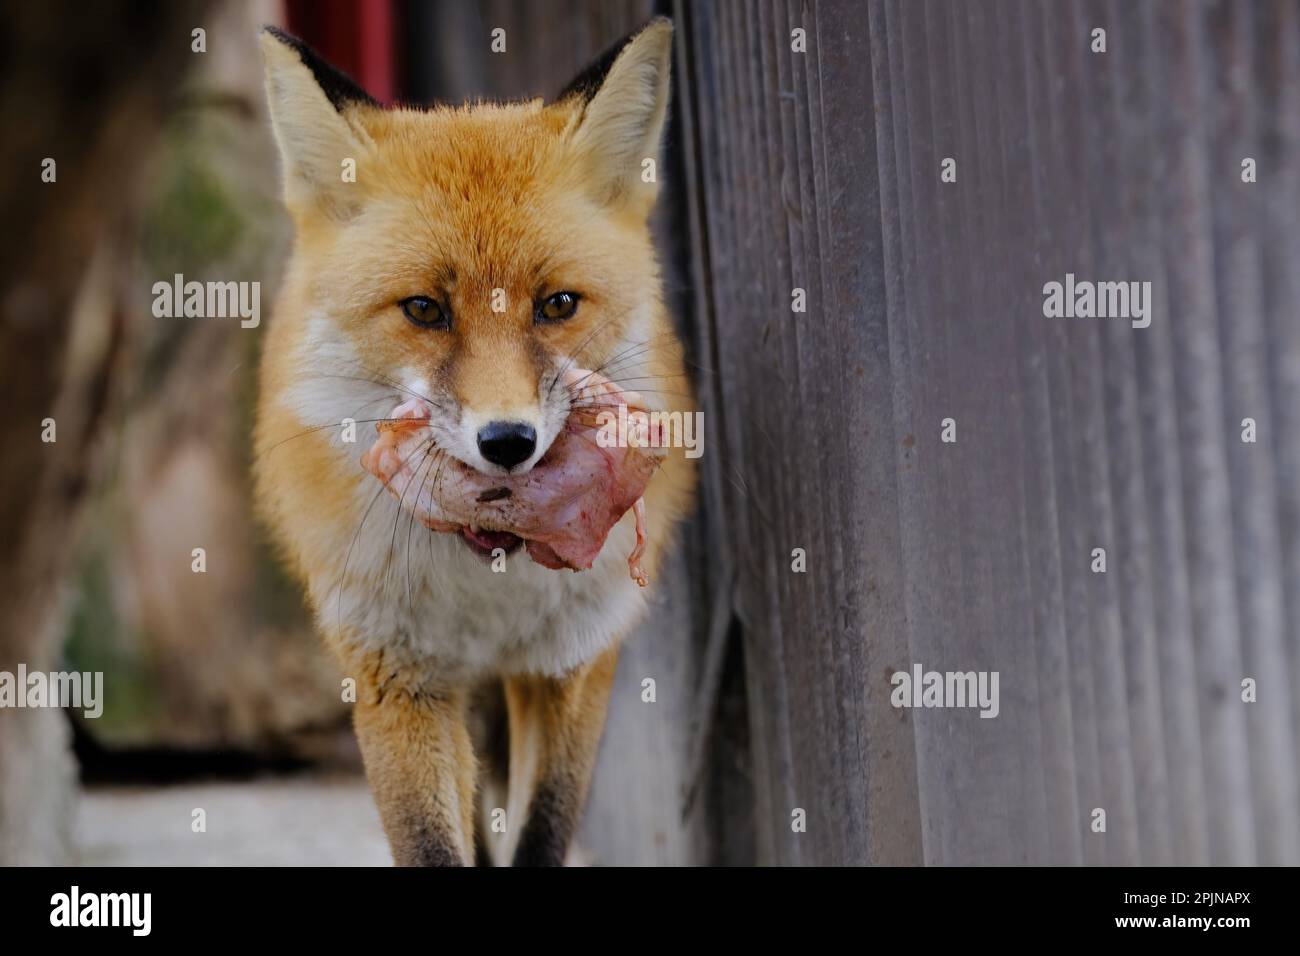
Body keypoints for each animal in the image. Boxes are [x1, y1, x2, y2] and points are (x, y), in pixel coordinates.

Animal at [253, 18, 695, 866]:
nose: (508, 441)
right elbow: (434, 841)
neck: (491, 568)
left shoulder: (572, 665)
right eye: (425, 309)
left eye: (558, 305)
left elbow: (544, 829)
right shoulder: (397, 678)